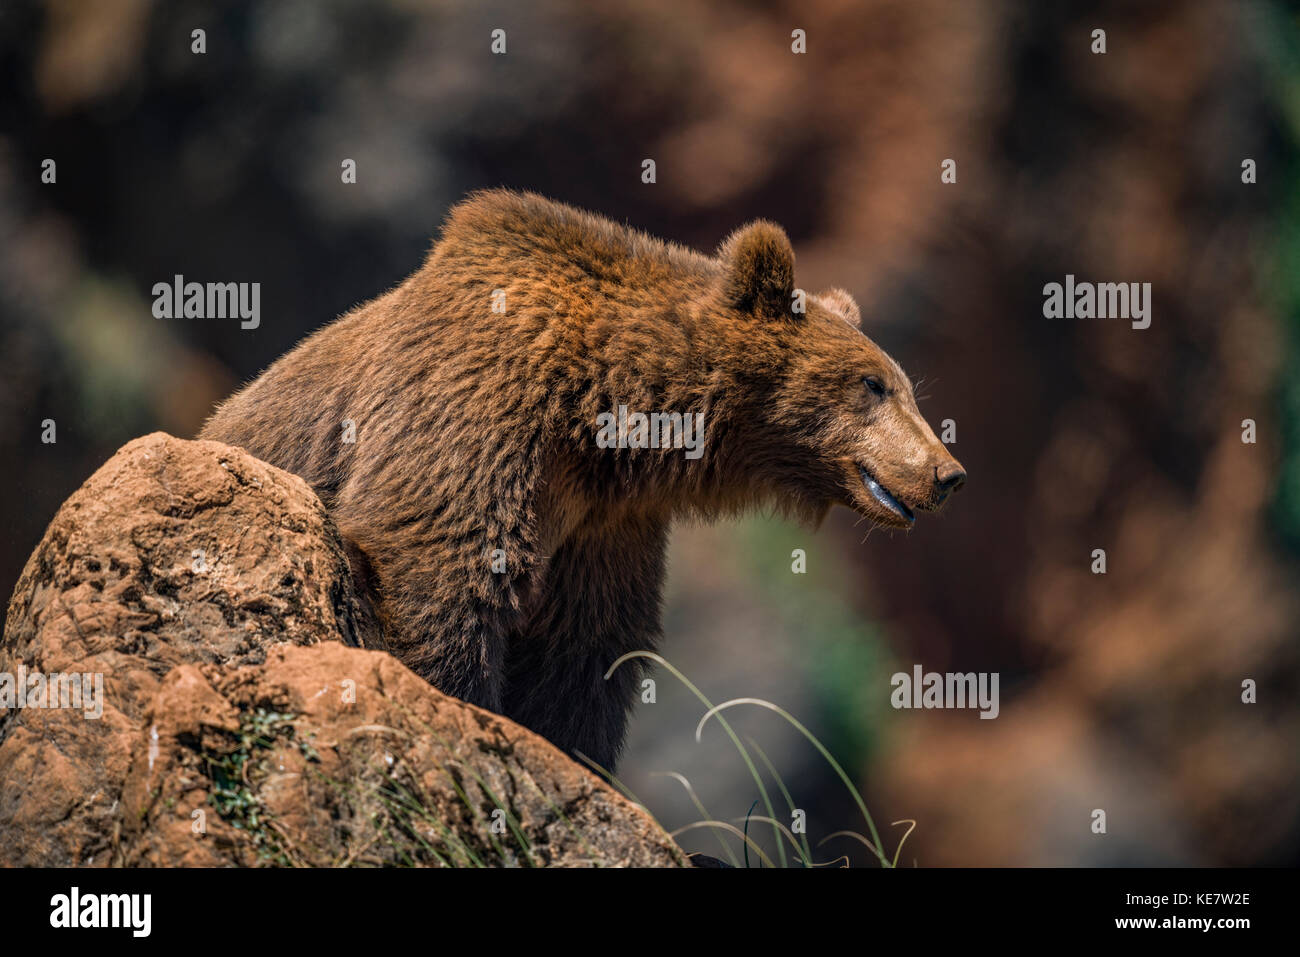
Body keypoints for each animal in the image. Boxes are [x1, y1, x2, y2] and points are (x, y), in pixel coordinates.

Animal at [199, 190, 965, 771]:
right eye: (873, 384)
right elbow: (441, 557)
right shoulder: (481, 406)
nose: (947, 473)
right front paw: (458, 704)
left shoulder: (602, 521)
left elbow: (586, 642)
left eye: (908, 387)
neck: (608, 410)